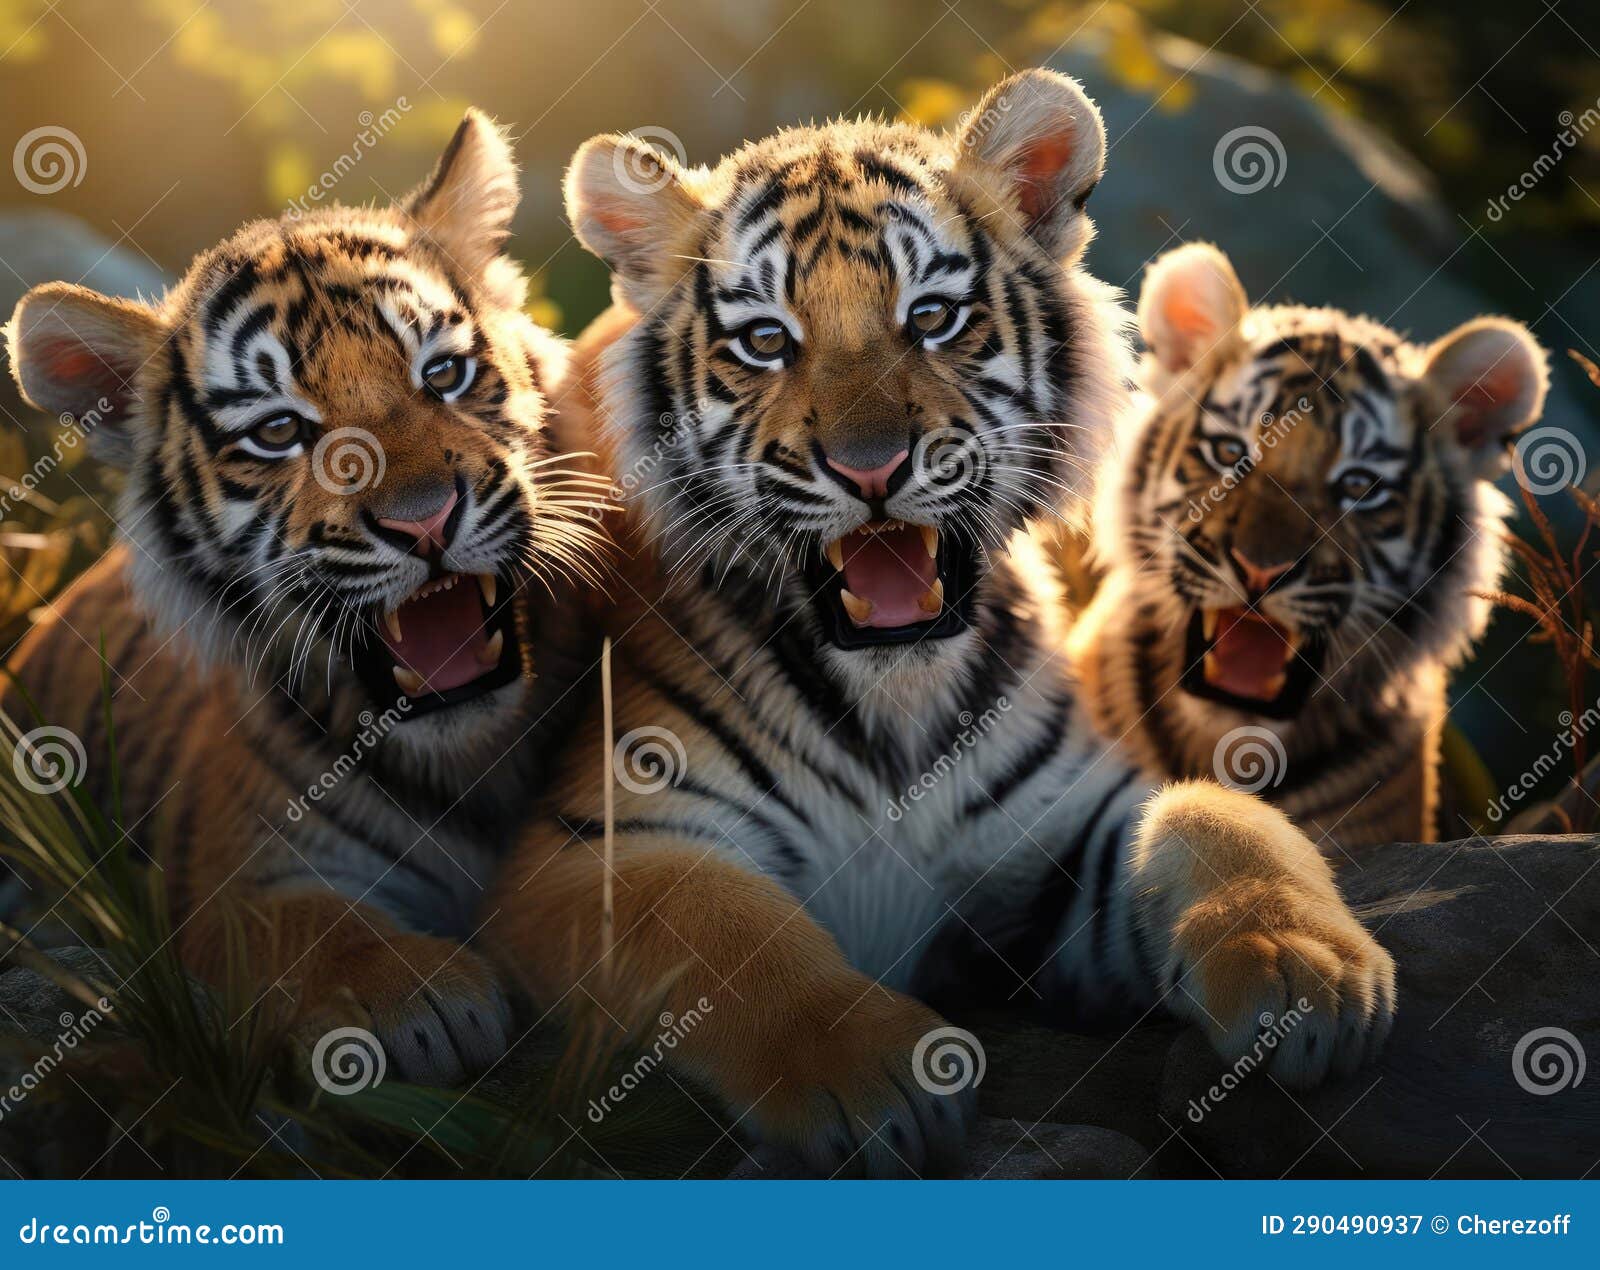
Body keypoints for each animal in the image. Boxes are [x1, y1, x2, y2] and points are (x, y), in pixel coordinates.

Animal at [2, 110, 610, 1084]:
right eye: (280, 431)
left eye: (443, 375)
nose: (425, 522)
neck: (465, 756)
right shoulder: (226, 877)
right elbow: (299, 926)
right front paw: (416, 996)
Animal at [484, 70, 1397, 1177]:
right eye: (765, 341)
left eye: (931, 317)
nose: (870, 468)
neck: (897, 695)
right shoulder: (587, 850)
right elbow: (722, 927)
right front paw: (877, 1075)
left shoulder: (1062, 856)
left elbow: (1212, 815)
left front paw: (1301, 970)